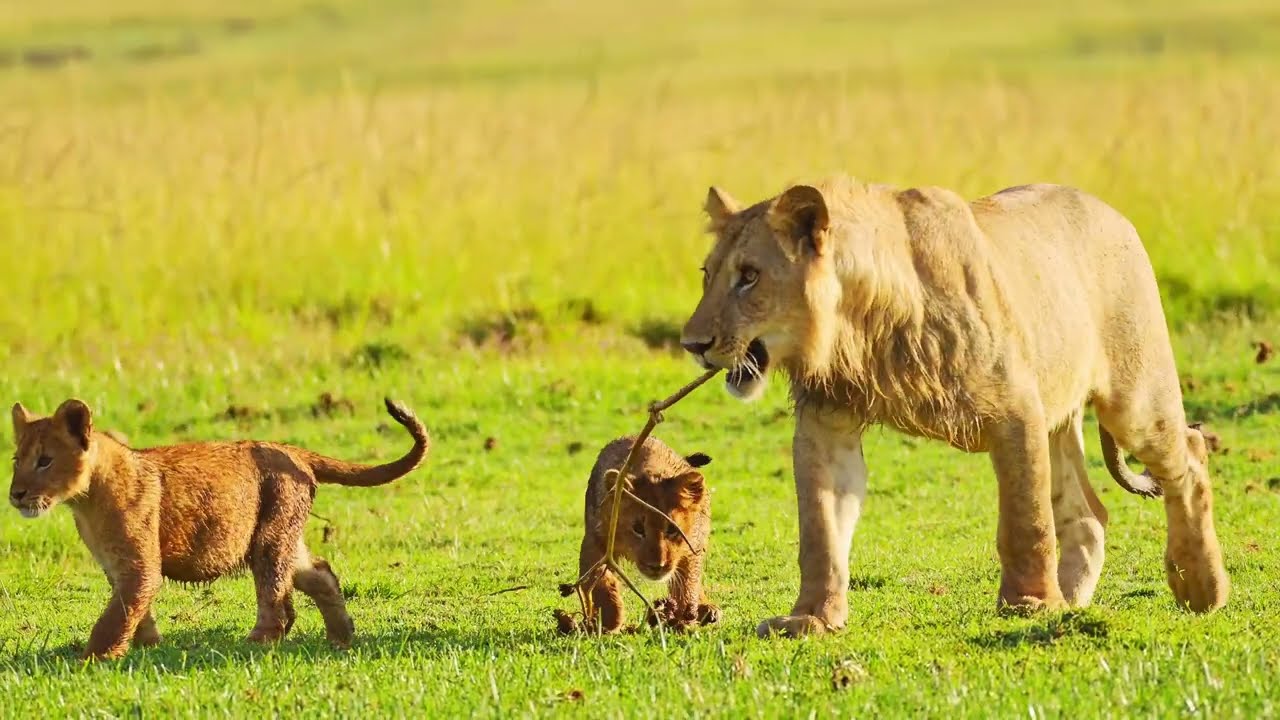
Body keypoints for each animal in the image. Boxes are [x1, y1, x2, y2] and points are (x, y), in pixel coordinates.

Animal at [8, 397, 430, 659]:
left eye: (45, 460)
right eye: (16, 460)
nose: (15, 494)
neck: (85, 499)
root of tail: (293, 451)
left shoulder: (138, 564)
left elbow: (116, 614)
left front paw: (93, 658)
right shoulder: (116, 564)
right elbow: (132, 607)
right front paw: (148, 645)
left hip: (270, 537)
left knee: (277, 601)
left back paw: (257, 641)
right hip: (286, 537)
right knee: (321, 574)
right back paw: (341, 637)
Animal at [569, 436, 718, 633]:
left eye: (672, 530)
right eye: (638, 529)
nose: (657, 566)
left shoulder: (692, 547)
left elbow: (686, 583)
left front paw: (685, 619)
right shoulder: (596, 539)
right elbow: (598, 577)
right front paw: (610, 618)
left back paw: (708, 610)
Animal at [679, 177, 1229, 638]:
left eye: (749, 276)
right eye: (707, 274)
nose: (692, 344)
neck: (860, 325)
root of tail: (1111, 211)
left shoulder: (1016, 410)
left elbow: (1026, 521)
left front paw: (1030, 604)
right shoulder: (827, 423)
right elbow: (820, 529)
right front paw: (811, 617)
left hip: (1132, 396)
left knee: (1189, 454)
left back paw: (1200, 587)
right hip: (1060, 411)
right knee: (1088, 513)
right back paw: (1074, 603)